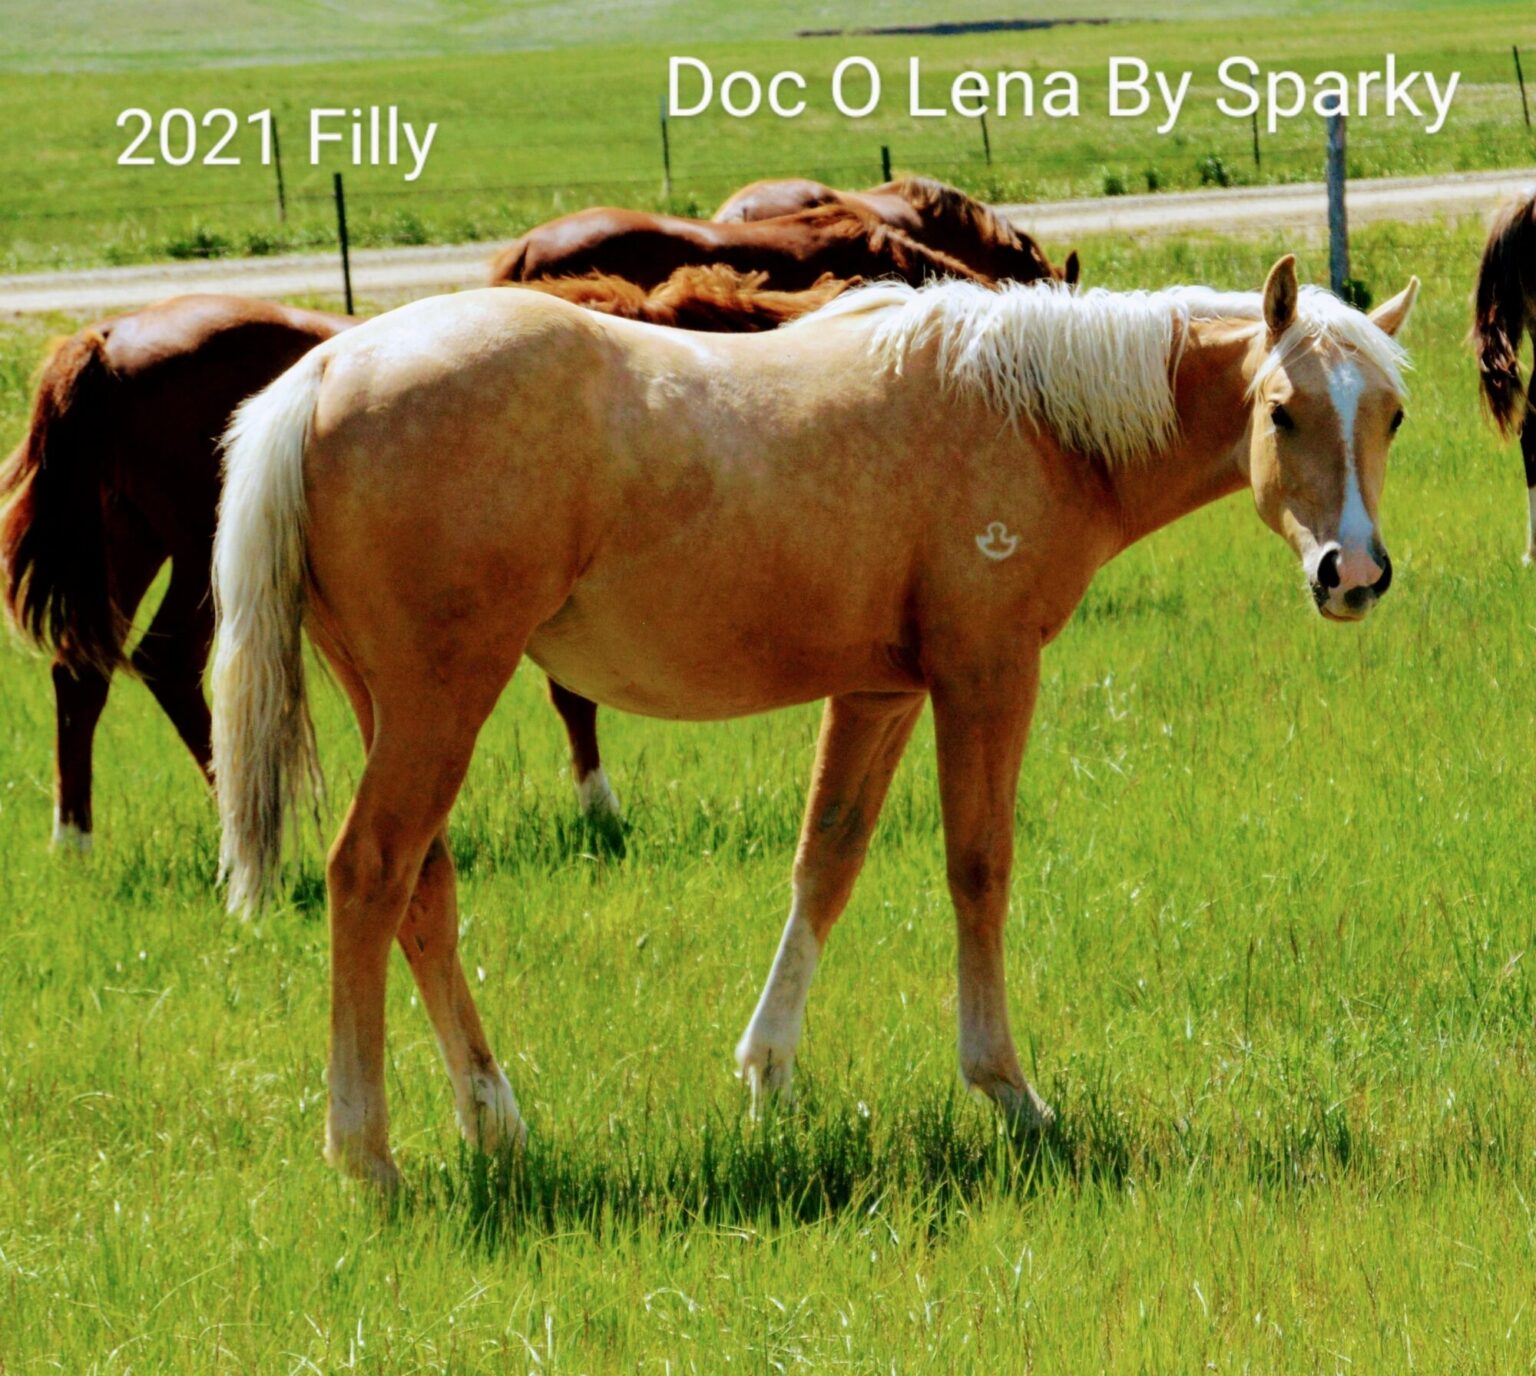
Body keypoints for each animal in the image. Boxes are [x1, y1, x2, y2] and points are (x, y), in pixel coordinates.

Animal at [1, 273, 853, 848]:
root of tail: (105, 338)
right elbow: (573, 697)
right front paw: (598, 805)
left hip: (127, 541)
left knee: (84, 674)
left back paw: (77, 838)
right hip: (189, 551)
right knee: (170, 659)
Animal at [210, 256, 1417, 1187]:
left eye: (1392, 416)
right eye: (1282, 411)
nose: (1352, 573)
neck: (1029, 415)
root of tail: (323, 370)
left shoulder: (880, 692)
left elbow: (824, 865)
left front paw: (769, 1075)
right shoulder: (986, 674)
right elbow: (978, 867)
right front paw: (1010, 1091)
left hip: (398, 700)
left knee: (424, 894)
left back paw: (495, 1122)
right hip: (441, 696)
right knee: (369, 873)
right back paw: (367, 1155)